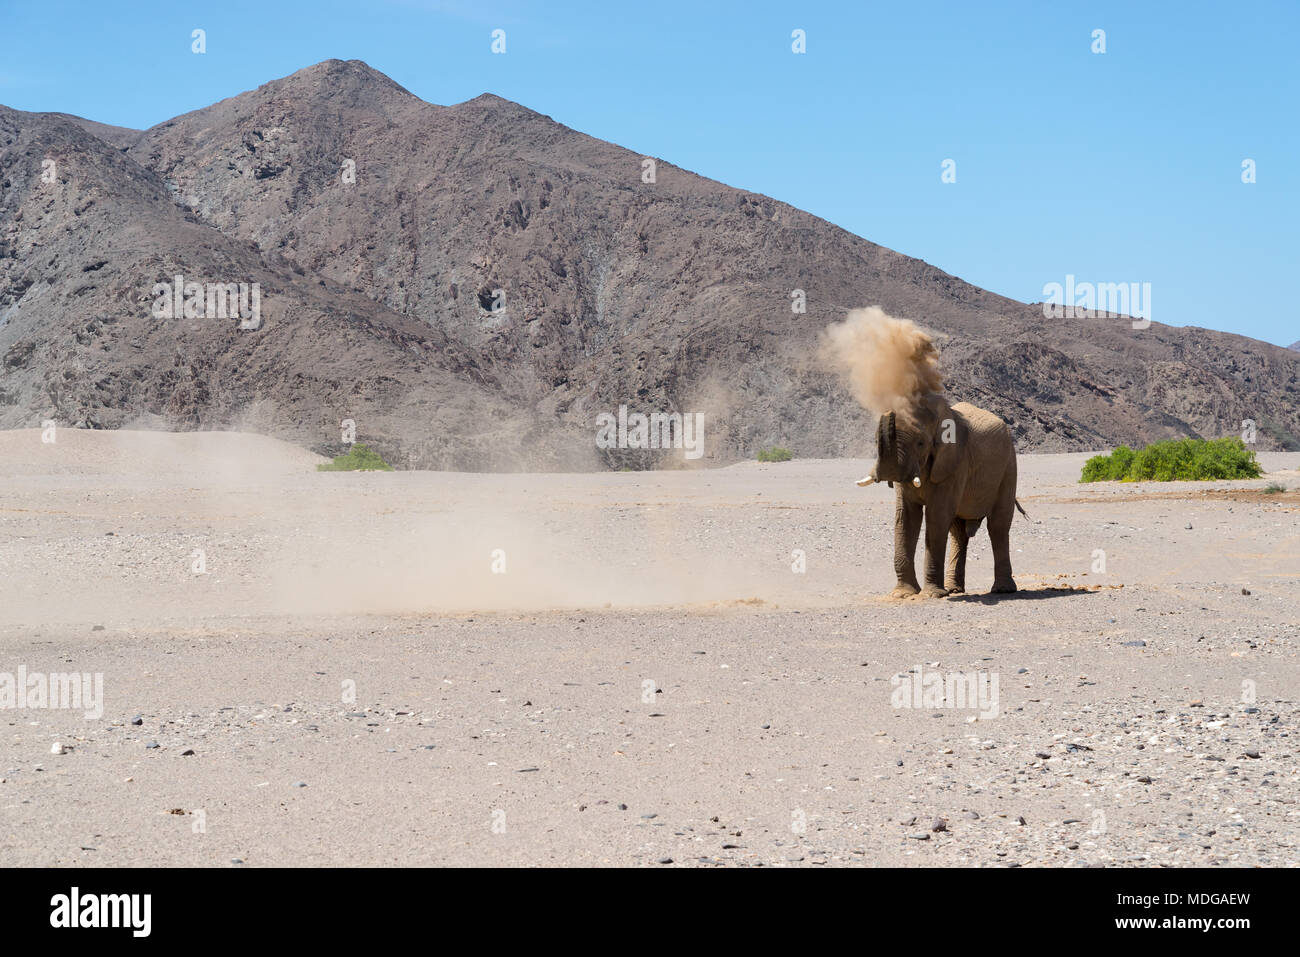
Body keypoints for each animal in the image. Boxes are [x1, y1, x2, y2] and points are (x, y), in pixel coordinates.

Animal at [856, 393, 1026, 598]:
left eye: (920, 443)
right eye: (875, 441)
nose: (889, 410)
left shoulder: (954, 464)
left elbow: (936, 516)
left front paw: (932, 595)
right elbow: (906, 517)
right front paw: (903, 594)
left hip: (1008, 467)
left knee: (998, 526)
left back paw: (1003, 590)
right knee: (958, 532)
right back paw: (954, 589)